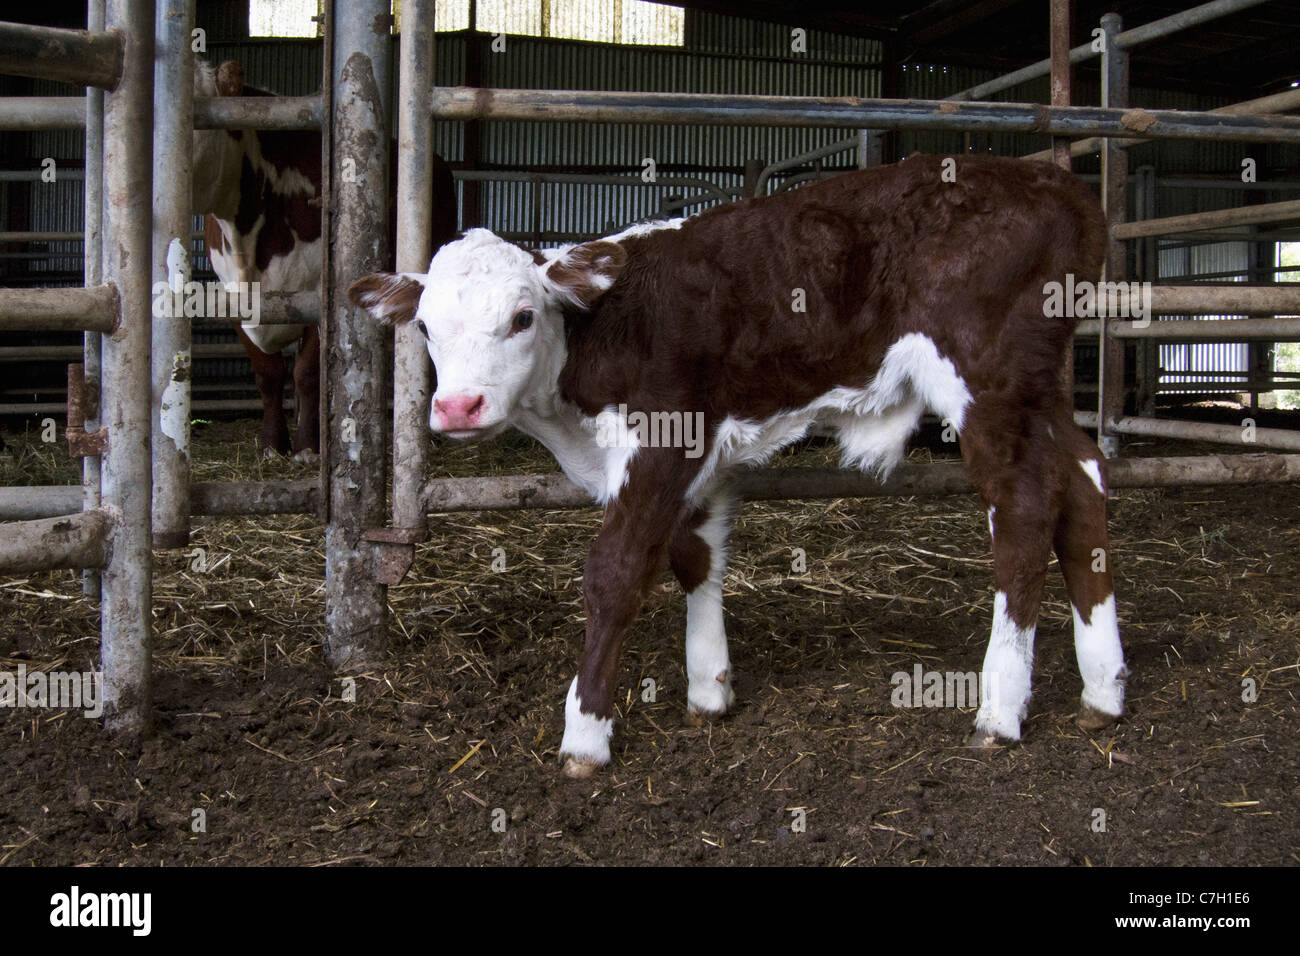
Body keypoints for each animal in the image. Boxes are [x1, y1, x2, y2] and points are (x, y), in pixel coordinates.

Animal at [192, 59, 457, 461]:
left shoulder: (321, 292)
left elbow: (306, 373)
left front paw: (305, 447)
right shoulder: (231, 295)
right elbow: (268, 374)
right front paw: (272, 445)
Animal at [349, 154, 1127, 778]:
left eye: (521, 317)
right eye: (426, 327)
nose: (458, 406)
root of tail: (1056, 182)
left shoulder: (664, 442)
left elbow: (616, 574)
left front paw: (587, 735)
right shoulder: (701, 459)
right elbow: (696, 558)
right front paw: (708, 689)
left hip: (988, 382)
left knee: (1025, 507)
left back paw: (1000, 708)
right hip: (1037, 389)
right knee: (1085, 483)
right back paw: (1103, 688)